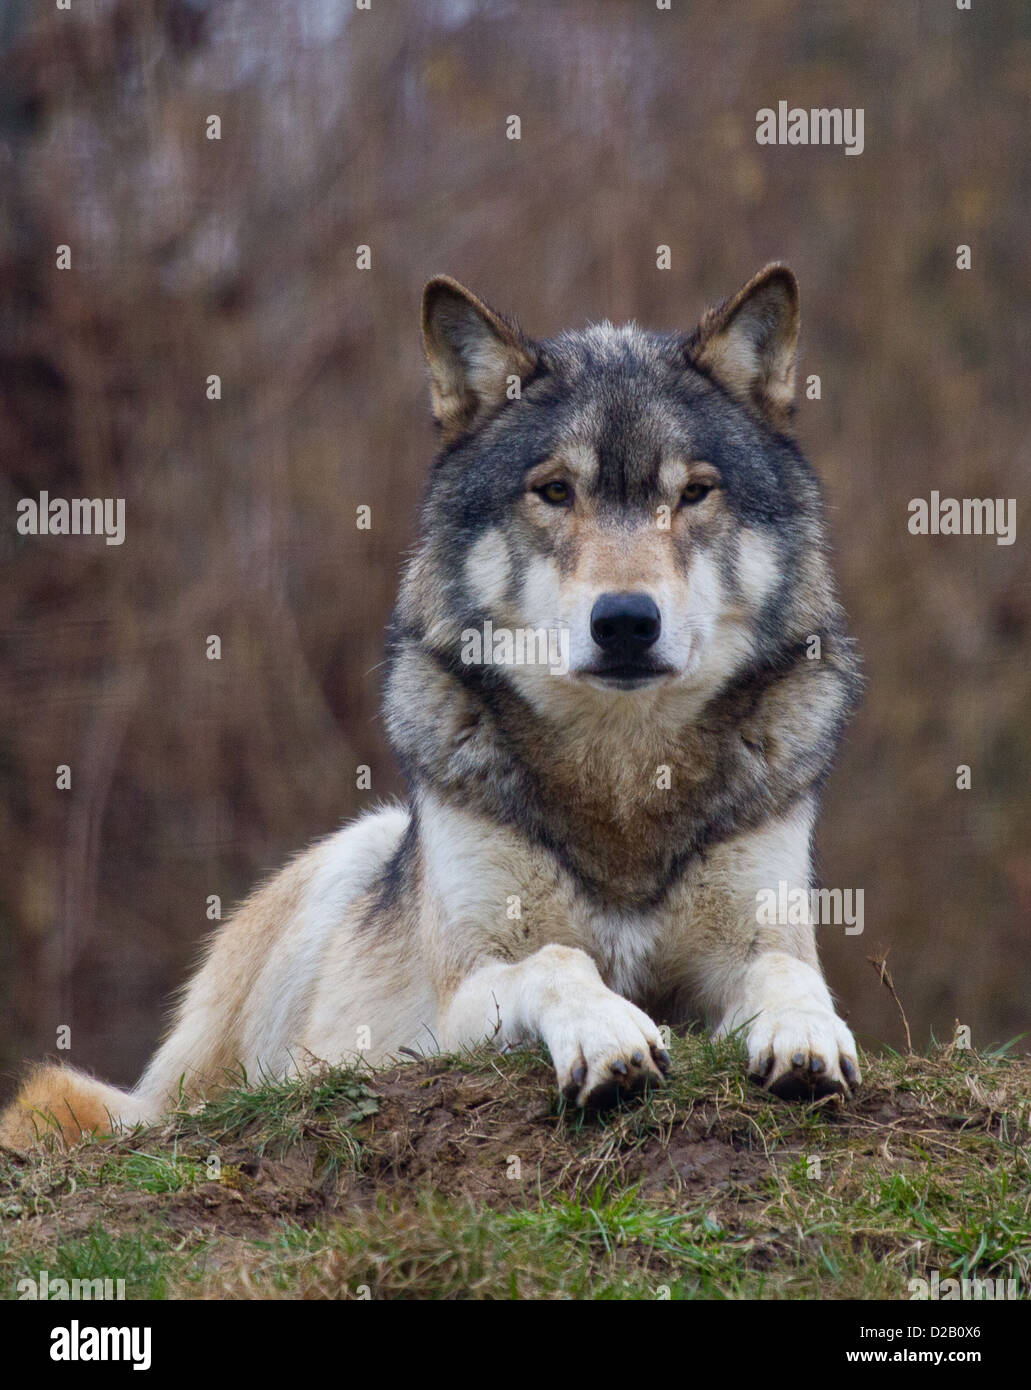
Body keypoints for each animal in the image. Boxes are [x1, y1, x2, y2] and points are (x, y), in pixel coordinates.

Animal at [0, 265, 862, 1150]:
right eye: (555, 491)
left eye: (692, 493)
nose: (624, 620)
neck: (620, 776)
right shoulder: (466, 991)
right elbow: (559, 962)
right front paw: (608, 1034)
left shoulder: (761, 930)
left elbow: (787, 972)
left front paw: (807, 1034)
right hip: (349, 855)